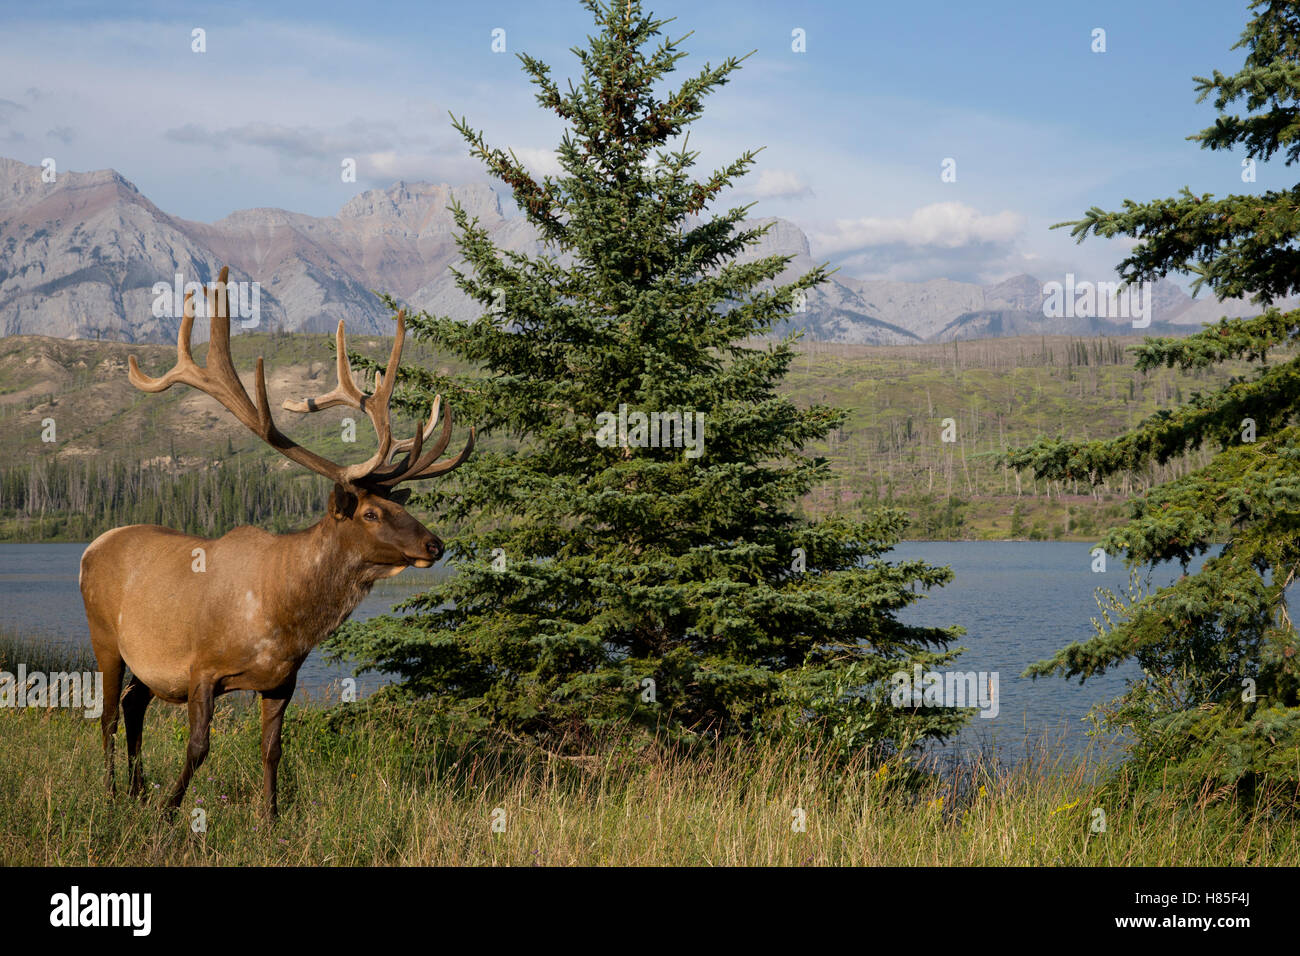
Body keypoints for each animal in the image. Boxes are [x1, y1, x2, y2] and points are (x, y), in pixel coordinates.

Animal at [79, 267, 473, 819]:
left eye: (398, 506)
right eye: (371, 512)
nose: (435, 545)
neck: (286, 616)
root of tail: (92, 545)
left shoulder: (282, 681)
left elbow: (272, 749)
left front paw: (270, 818)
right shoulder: (202, 669)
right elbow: (197, 747)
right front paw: (171, 811)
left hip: (148, 665)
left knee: (135, 705)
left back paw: (137, 790)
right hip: (106, 638)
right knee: (109, 715)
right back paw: (115, 794)